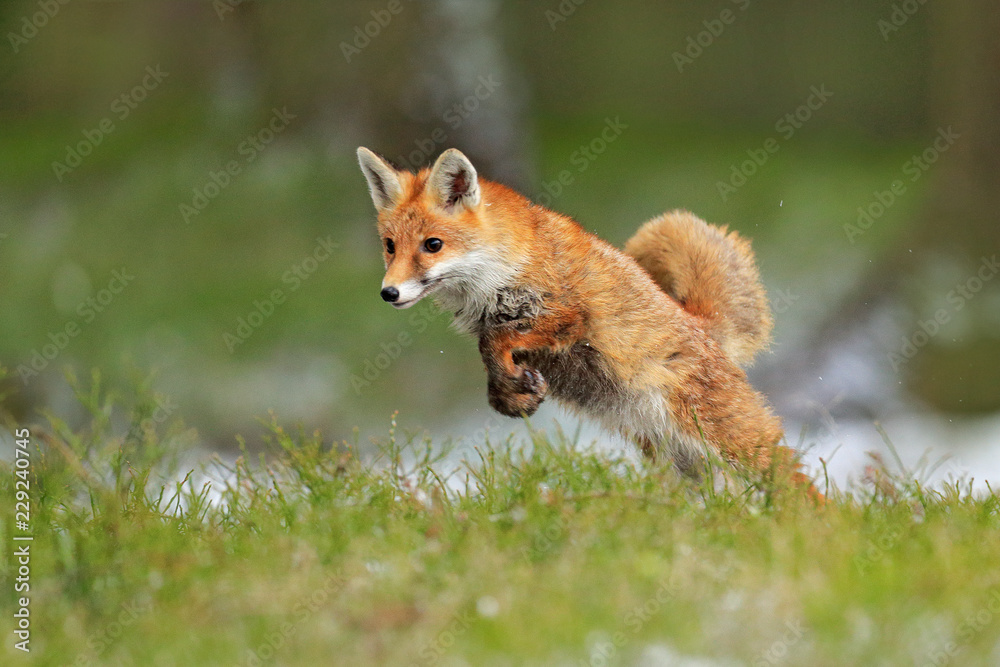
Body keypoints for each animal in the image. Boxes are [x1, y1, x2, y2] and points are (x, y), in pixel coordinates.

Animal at [357, 146, 819, 499]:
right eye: (390, 246)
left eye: (432, 245)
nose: (388, 293)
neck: (500, 273)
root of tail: (704, 328)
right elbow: (490, 353)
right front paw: (510, 395)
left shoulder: (567, 316)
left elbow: (494, 341)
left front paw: (513, 388)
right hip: (679, 457)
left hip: (731, 442)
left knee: (803, 489)